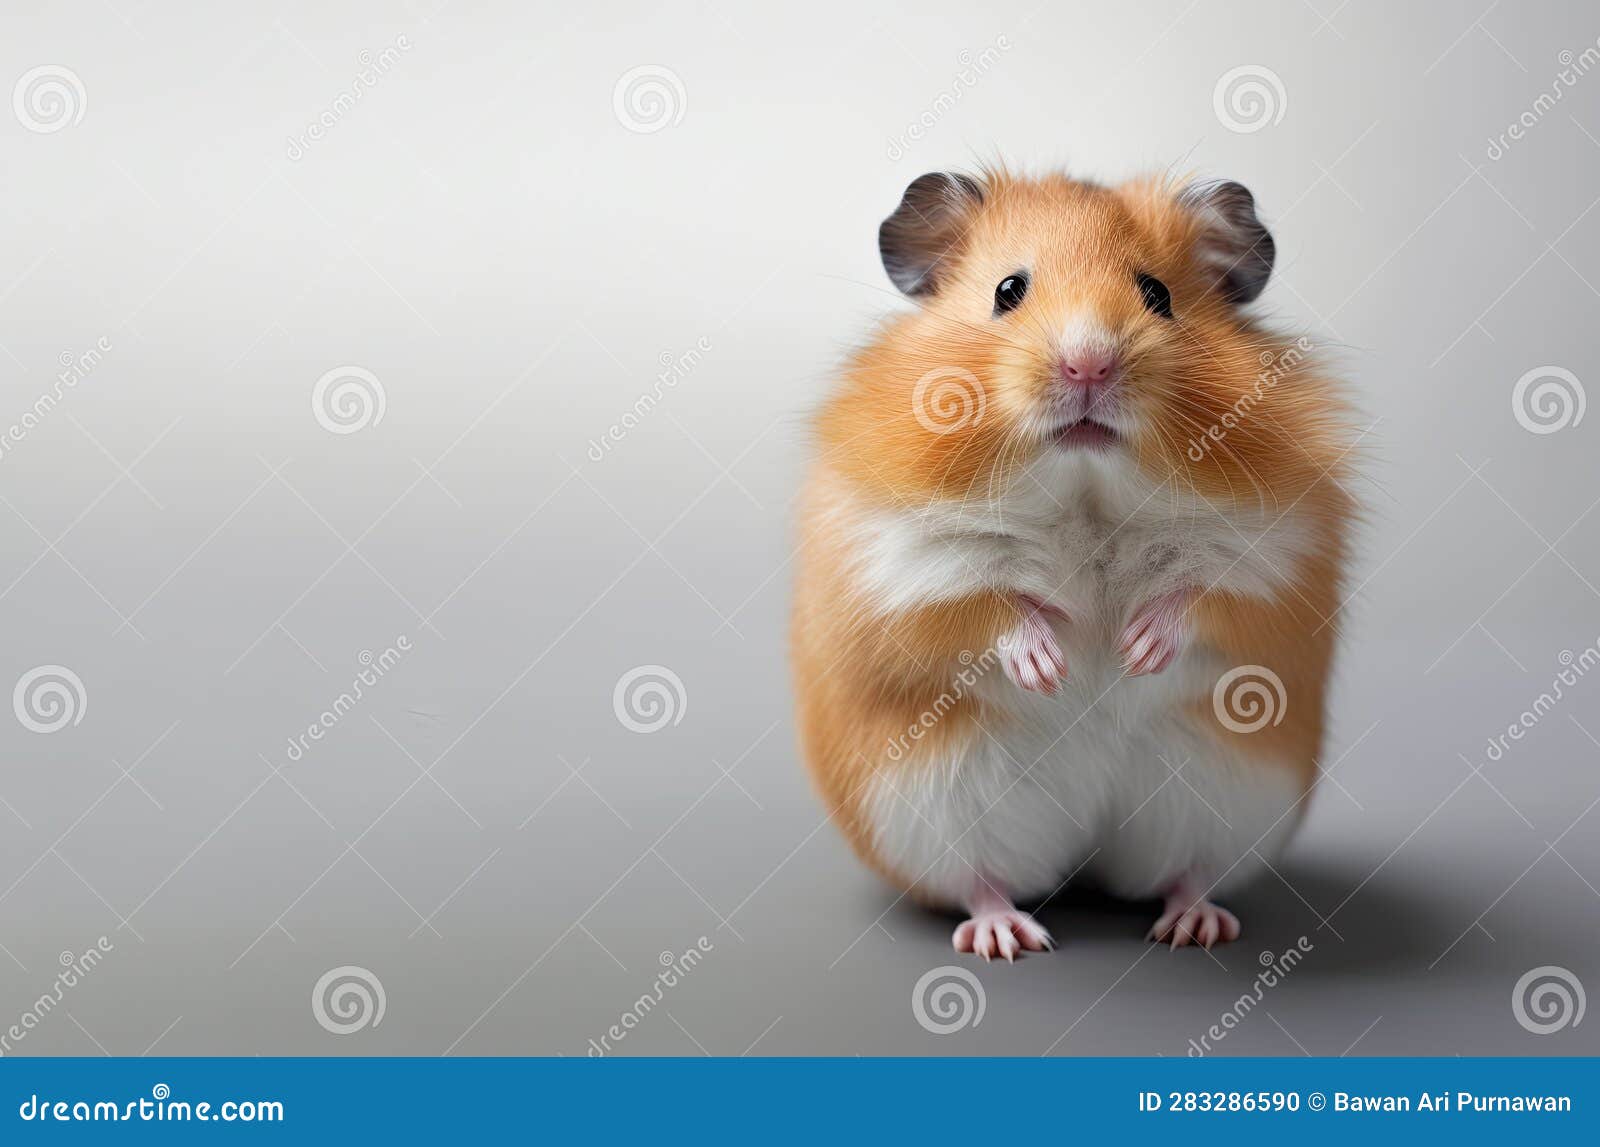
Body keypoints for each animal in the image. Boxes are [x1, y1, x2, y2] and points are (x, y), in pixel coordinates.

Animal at [791, 167, 1356, 959]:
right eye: (1007, 290)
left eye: (1157, 293)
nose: (1089, 362)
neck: (1086, 494)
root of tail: (1084, 857)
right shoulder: (894, 559)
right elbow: (983, 601)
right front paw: (1050, 665)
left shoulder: (1283, 553)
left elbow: (1204, 591)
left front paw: (1135, 650)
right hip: (923, 809)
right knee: (977, 878)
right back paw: (1007, 938)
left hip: (1230, 797)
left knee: (1187, 871)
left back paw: (1195, 928)